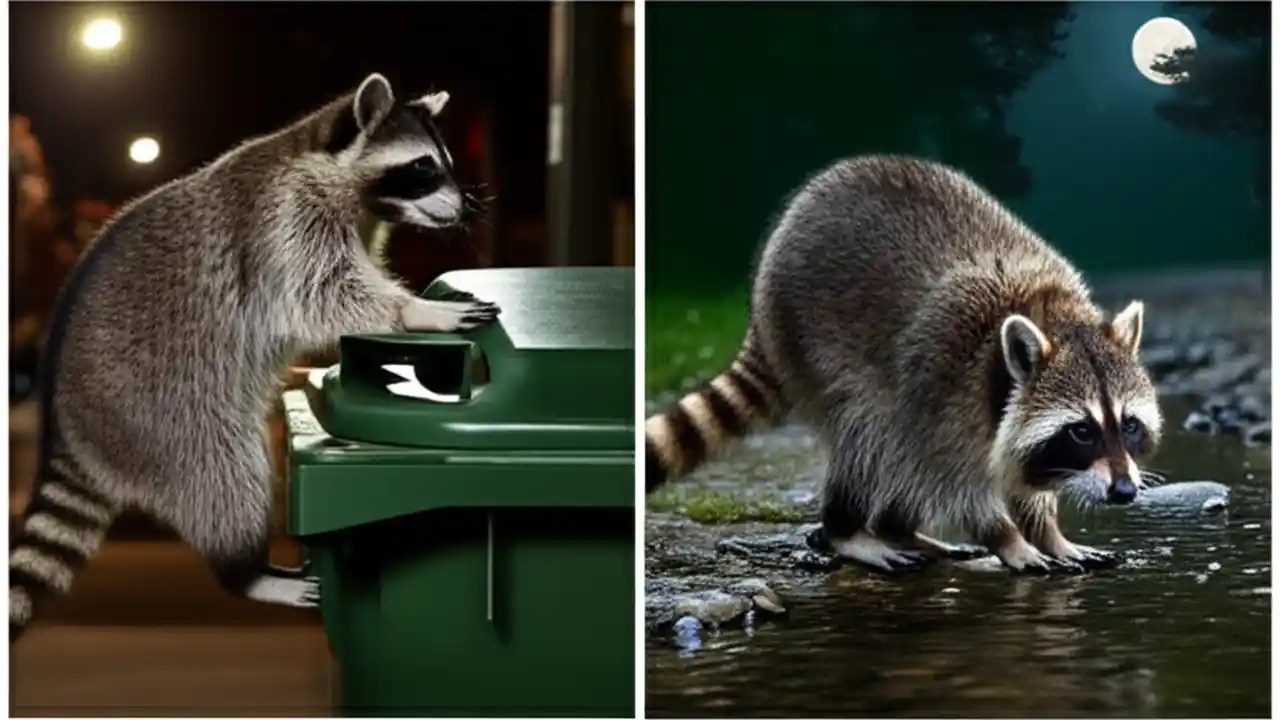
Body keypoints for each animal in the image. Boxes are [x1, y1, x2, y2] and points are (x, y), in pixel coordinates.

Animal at [10, 73, 499, 641]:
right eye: (423, 167)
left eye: (445, 161)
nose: (466, 209)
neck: (336, 171)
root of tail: (68, 431)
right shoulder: (283, 225)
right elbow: (323, 295)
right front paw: (416, 309)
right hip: (158, 417)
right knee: (226, 477)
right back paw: (245, 573)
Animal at [646, 155, 1162, 574]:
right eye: (1082, 430)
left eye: (1129, 424)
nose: (1125, 491)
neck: (1053, 315)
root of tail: (759, 312)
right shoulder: (943, 383)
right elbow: (958, 482)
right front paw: (1008, 538)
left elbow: (1023, 479)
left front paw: (1047, 532)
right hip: (813, 347)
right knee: (870, 434)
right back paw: (848, 531)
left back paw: (899, 528)